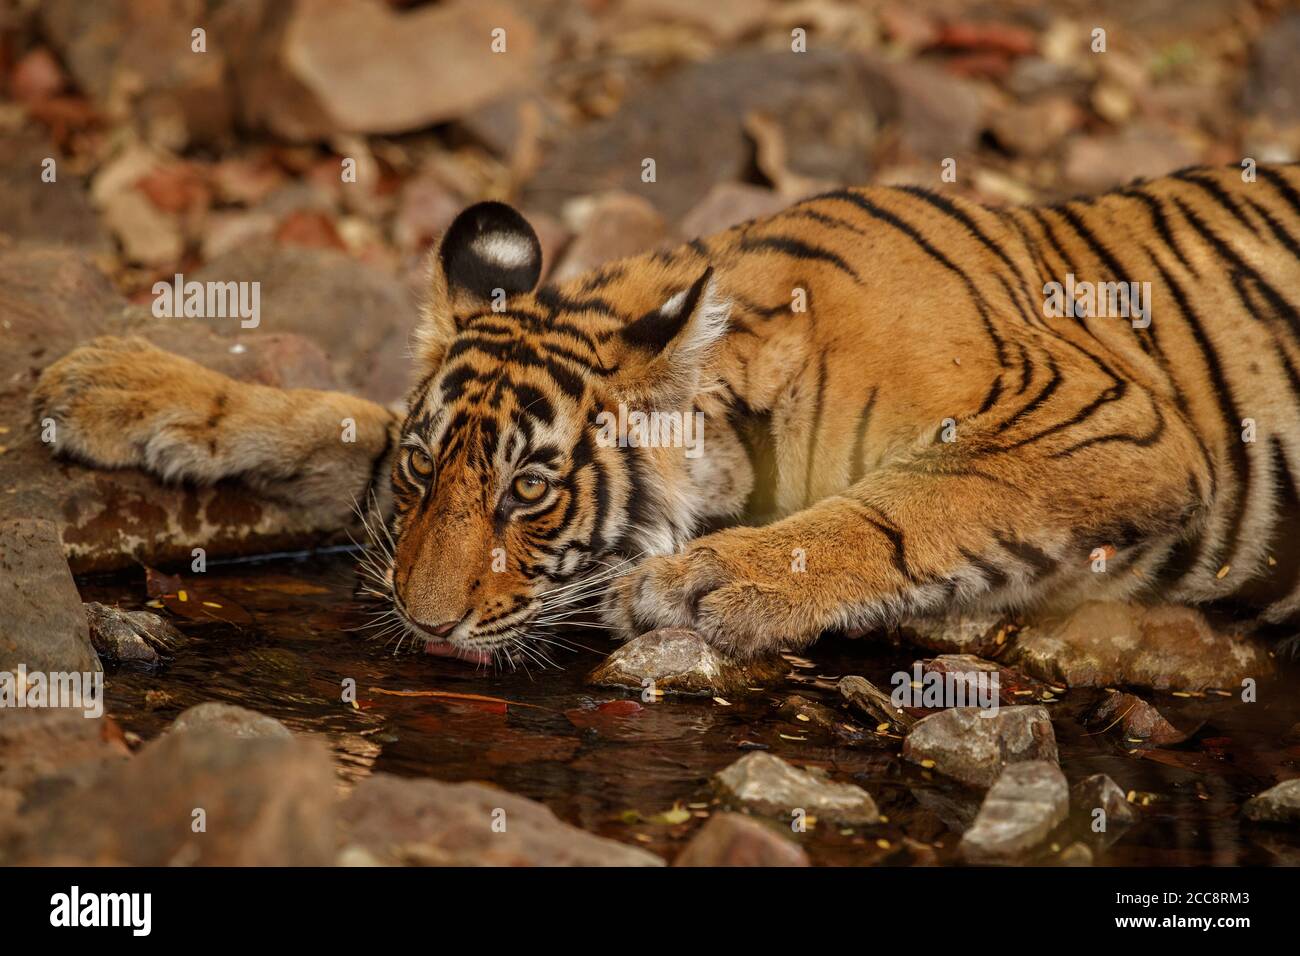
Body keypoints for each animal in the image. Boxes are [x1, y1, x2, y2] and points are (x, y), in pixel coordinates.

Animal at [31, 163, 1300, 666]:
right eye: (424, 475)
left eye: (529, 493)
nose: (425, 626)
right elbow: (334, 413)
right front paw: (116, 384)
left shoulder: (1104, 417)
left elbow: (914, 497)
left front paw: (706, 580)